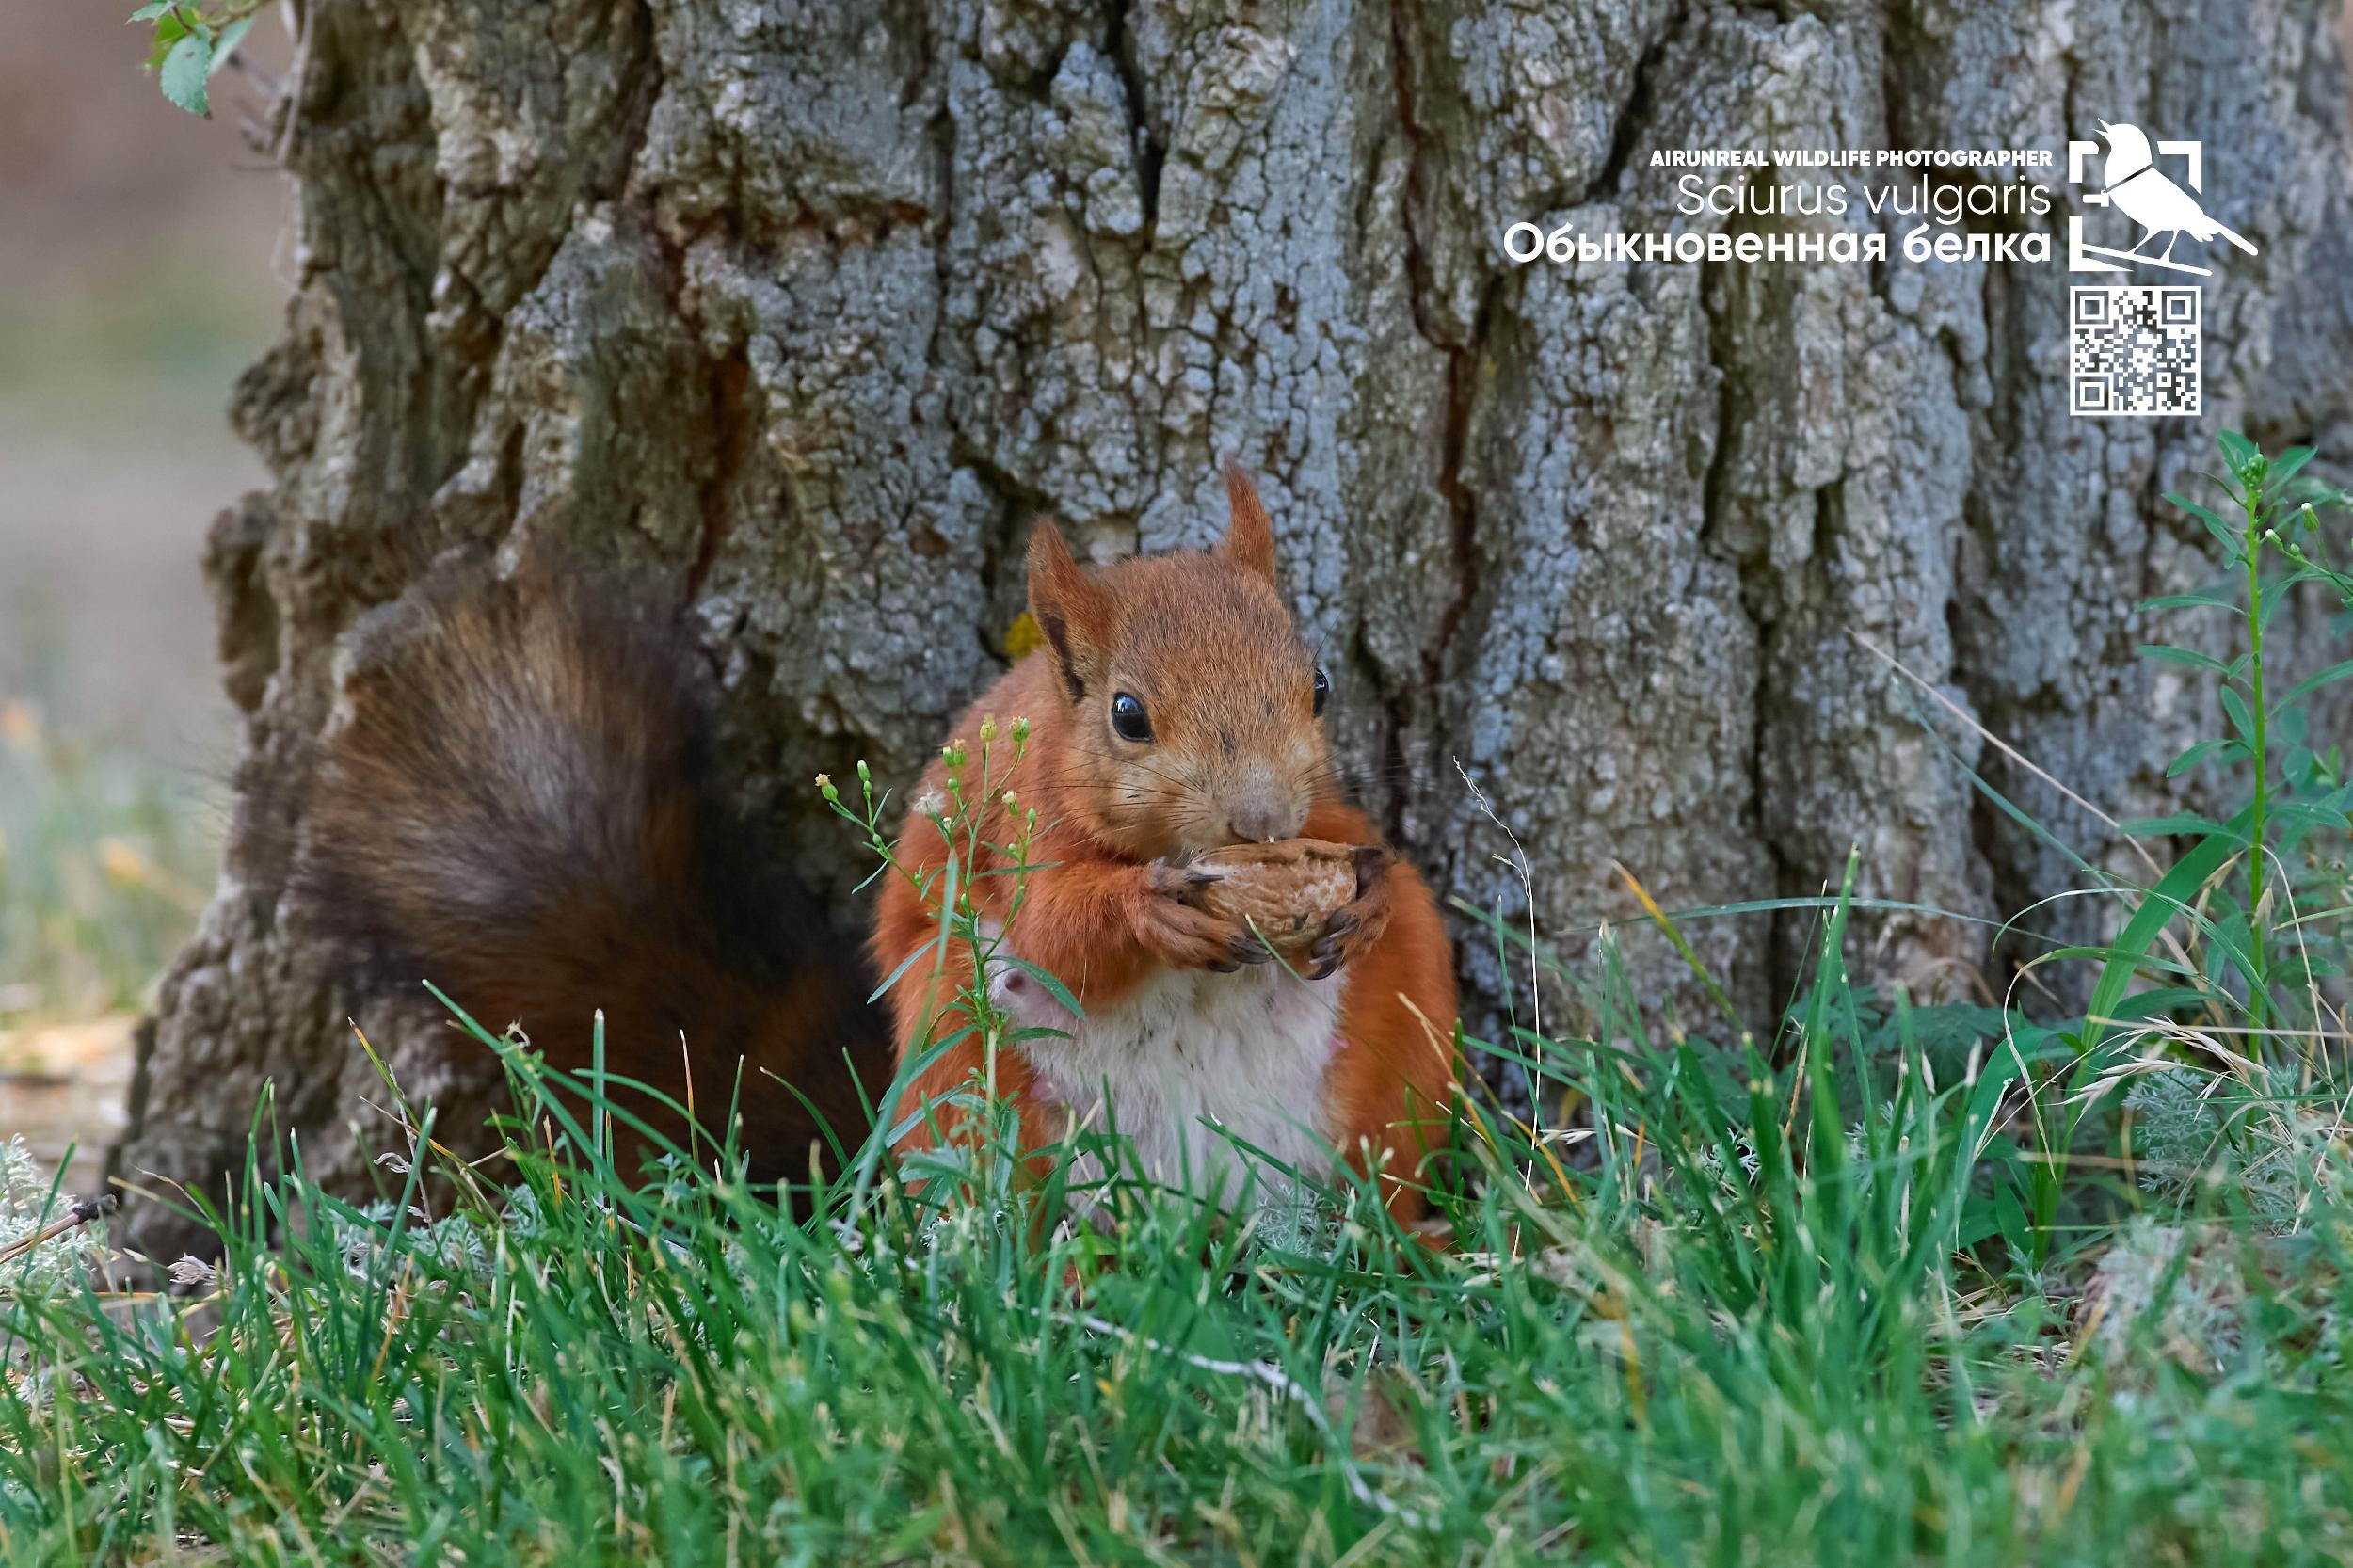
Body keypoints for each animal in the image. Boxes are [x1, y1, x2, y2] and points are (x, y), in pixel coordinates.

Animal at [873, 466, 1460, 1219]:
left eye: (1320, 686)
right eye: (1127, 715)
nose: (1261, 818)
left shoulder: (1319, 811)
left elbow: (1347, 843)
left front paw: (1371, 893)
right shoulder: (1020, 824)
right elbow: (1050, 932)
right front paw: (1149, 910)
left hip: (1405, 1043)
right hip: (951, 1048)